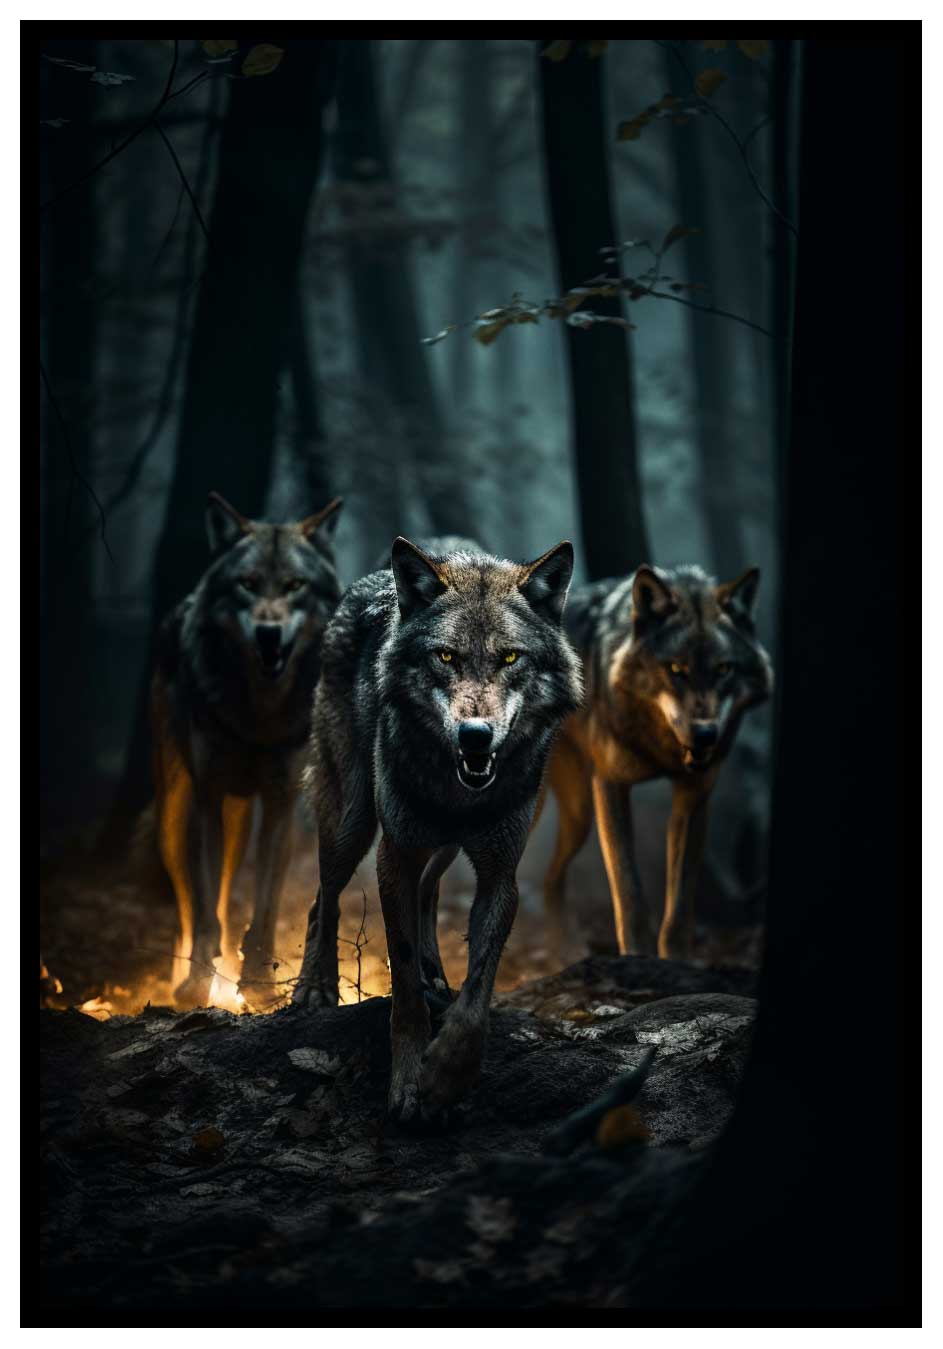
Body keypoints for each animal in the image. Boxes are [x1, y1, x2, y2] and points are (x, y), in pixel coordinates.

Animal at [151, 491, 344, 1009]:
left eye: (294, 585)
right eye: (247, 584)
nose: (268, 634)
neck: (259, 716)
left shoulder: (281, 805)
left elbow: (265, 907)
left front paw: (258, 980)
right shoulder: (207, 798)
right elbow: (203, 910)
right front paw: (199, 981)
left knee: (226, 891)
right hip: (177, 816)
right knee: (192, 902)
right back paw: (185, 972)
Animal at [293, 536, 582, 1121]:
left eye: (510, 657)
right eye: (445, 656)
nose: (475, 736)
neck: (458, 792)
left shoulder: (500, 873)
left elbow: (478, 989)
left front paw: (447, 1074)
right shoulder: (395, 854)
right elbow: (401, 977)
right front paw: (407, 1082)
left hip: (441, 847)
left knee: (428, 891)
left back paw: (434, 973)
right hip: (354, 821)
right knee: (323, 898)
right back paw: (315, 986)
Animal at [542, 563, 773, 962]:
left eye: (724, 669)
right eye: (676, 669)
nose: (705, 734)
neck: (660, 748)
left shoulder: (693, 796)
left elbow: (680, 902)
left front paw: (676, 961)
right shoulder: (610, 784)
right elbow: (628, 890)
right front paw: (637, 956)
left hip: (577, 814)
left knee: (548, 879)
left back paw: (566, 948)